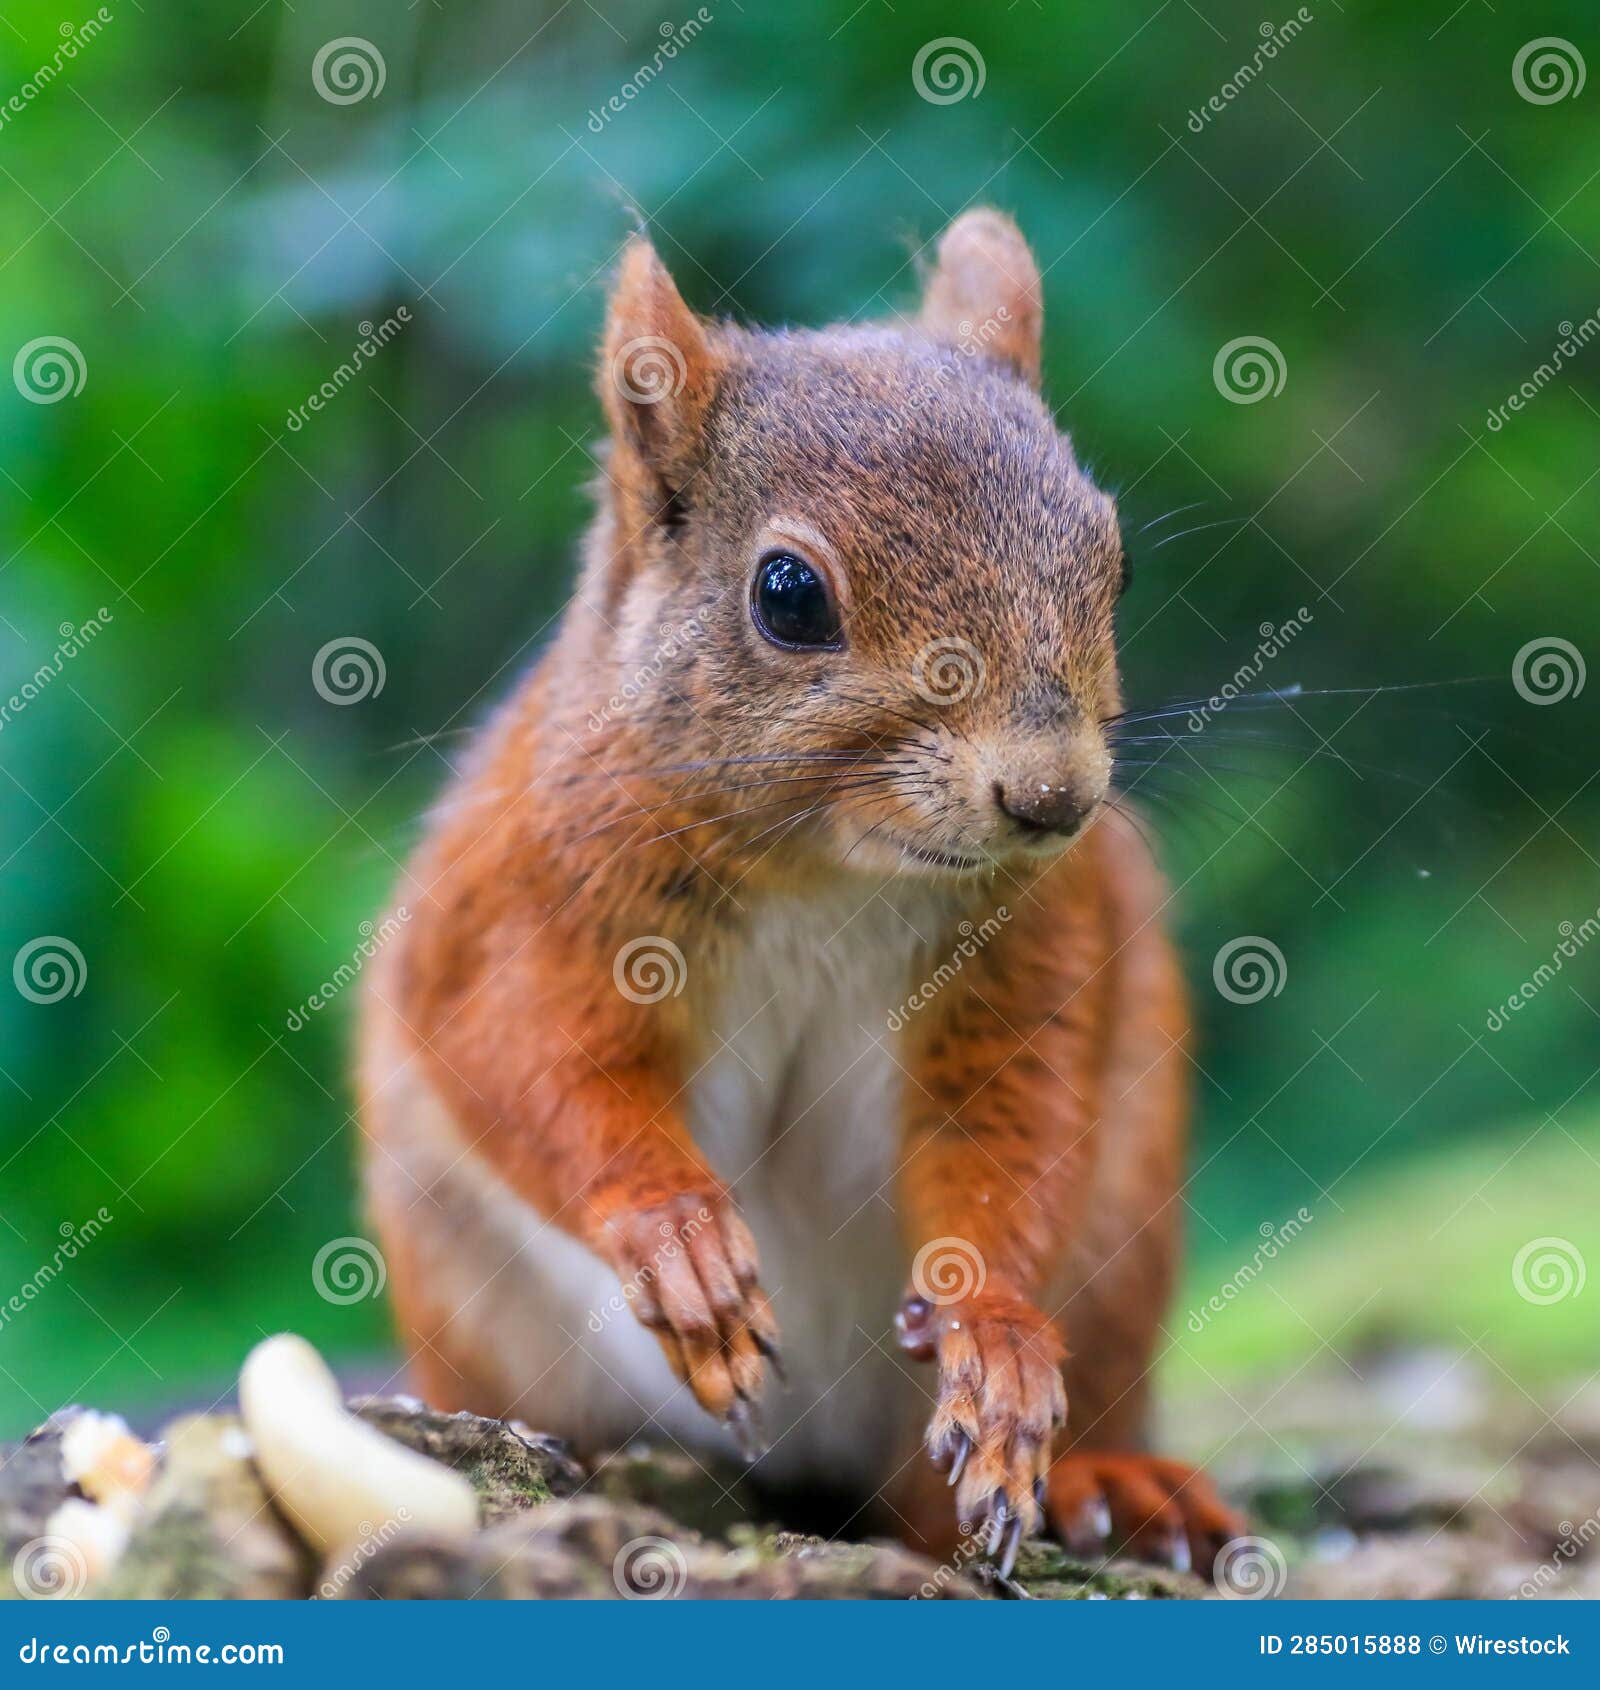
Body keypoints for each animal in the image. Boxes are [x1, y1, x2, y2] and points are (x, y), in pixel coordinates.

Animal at [357, 208, 1244, 1577]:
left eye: (1117, 557)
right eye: (788, 594)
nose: (1051, 799)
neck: (828, 871)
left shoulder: (1035, 945)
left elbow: (1013, 1122)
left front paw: (994, 1334)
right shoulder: (516, 901)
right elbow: (529, 1056)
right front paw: (675, 1238)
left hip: (1123, 1245)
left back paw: (1108, 1478)